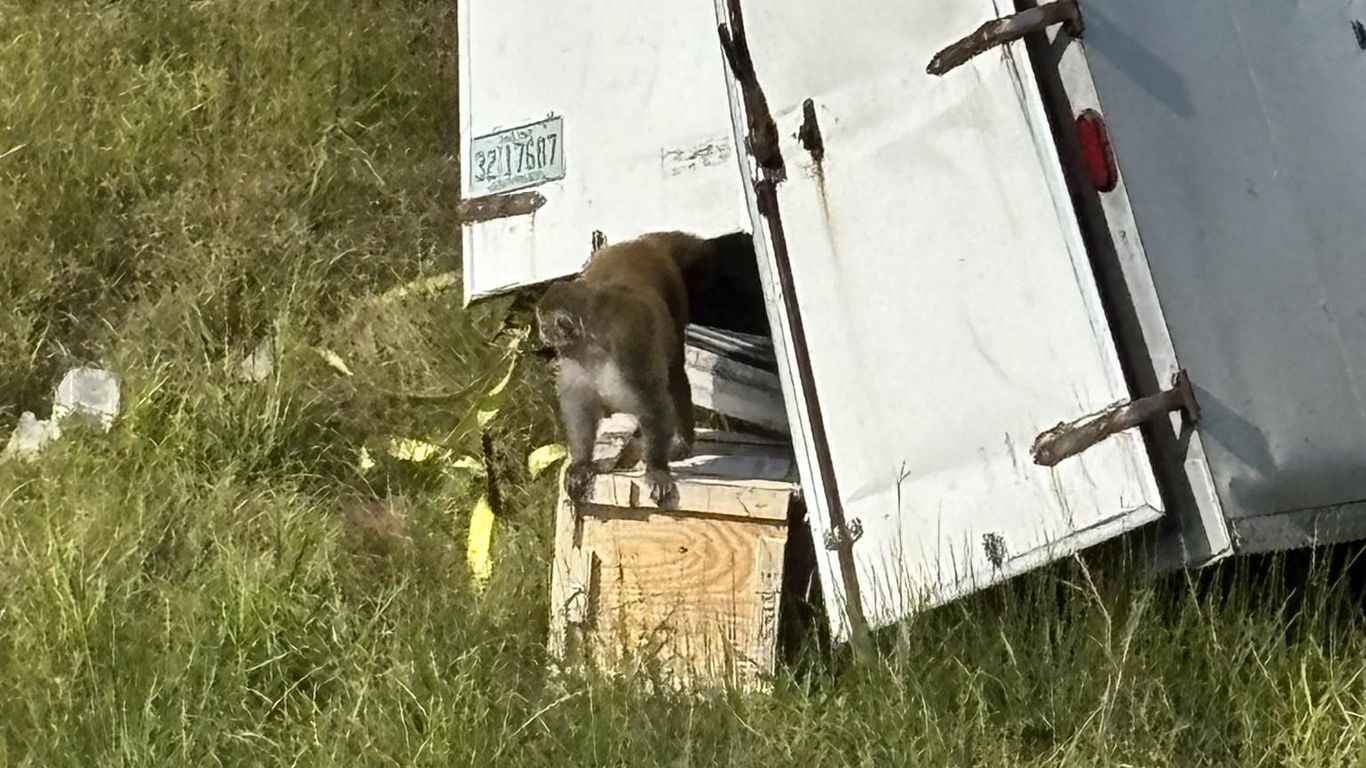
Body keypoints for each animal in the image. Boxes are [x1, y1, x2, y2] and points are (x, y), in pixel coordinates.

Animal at [537, 231, 752, 506]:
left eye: (544, 325)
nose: (541, 334)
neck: (593, 344)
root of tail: (642, 242)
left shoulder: (630, 344)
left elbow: (653, 401)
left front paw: (656, 469)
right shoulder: (574, 360)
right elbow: (580, 405)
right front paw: (582, 463)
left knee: (675, 374)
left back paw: (682, 441)